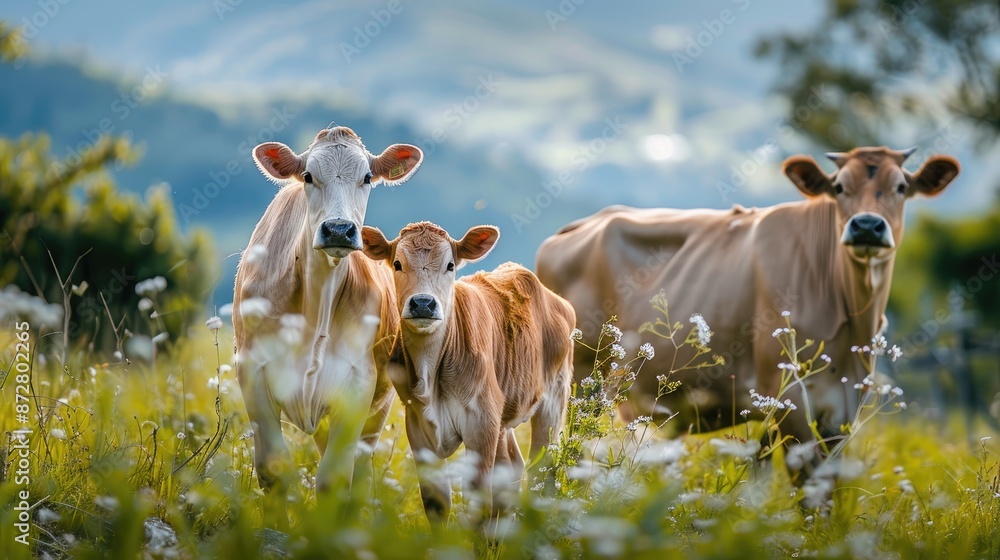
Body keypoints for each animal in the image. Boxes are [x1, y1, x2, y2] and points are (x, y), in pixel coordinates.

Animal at [232, 126, 423, 527]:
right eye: (307, 176)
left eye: (366, 177)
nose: (338, 230)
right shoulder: (252, 370)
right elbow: (273, 469)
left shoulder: (356, 384)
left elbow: (335, 479)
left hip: (378, 407)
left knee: (361, 470)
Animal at [361, 221, 575, 524]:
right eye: (397, 264)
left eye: (450, 265)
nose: (423, 303)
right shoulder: (418, 424)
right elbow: (437, 502)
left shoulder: (482, 423)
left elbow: (480, 503)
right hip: (504, 418)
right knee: (512, 472)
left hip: (553, 401)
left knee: (541, 473)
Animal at [535, 147, 959, 471]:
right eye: (839, 187)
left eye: (901, 187)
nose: (867, 225)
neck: (853, 318)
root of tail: (577, 226)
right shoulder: (790, 402)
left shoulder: (843, 410)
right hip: (576, 390)